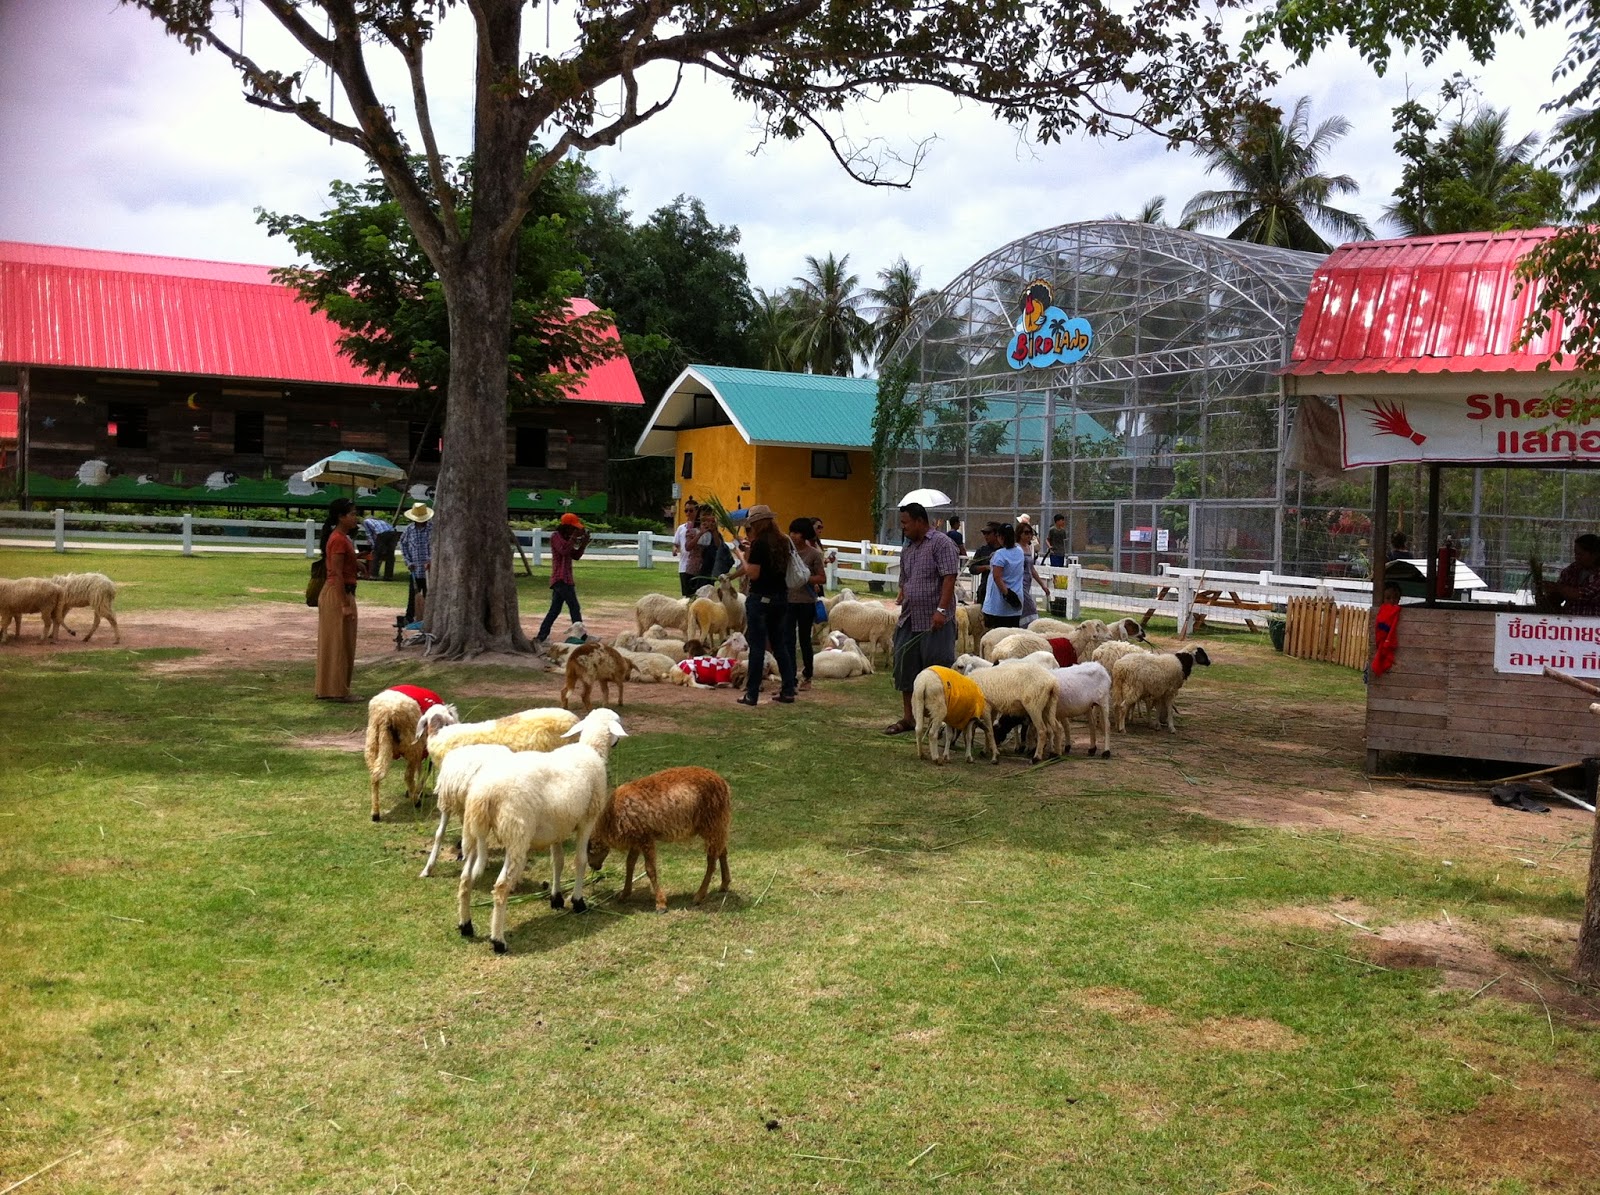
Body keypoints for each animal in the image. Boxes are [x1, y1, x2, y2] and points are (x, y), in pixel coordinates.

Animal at [364, 687, 461, 821]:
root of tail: (386, 714)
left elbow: (421, 770)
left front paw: (416, 792)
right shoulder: (424, 749)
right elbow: (425, 771)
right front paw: (418, 792)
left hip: (373, 744)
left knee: (375, 775)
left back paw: (375, 813)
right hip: (412, 745)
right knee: (408, 776)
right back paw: (416, 801)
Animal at [456, 708, 628, 952]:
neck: (592, 749)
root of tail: (484, 794)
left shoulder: (557, 827)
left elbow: (558, 862)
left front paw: (556, 899)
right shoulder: (587, 820)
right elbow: (580, 860)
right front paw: (578, 901)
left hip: (472, 833)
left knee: (465, 881)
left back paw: (466, 926)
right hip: (517, 835)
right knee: (501, 887)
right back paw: (498, 941)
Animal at [587, 766, 732, 912]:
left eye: (589, 851)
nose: (593, 866)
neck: (610, 821)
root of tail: (722, 783)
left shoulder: (645, 837)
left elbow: (650, 869)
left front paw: (661, 904)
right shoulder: (636, 839)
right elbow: (630, 864)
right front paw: (624, 894)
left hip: (712, 822)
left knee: (712, 861)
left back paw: (699, 896)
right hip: (716, 824)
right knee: (722, 851)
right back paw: (724, 884)